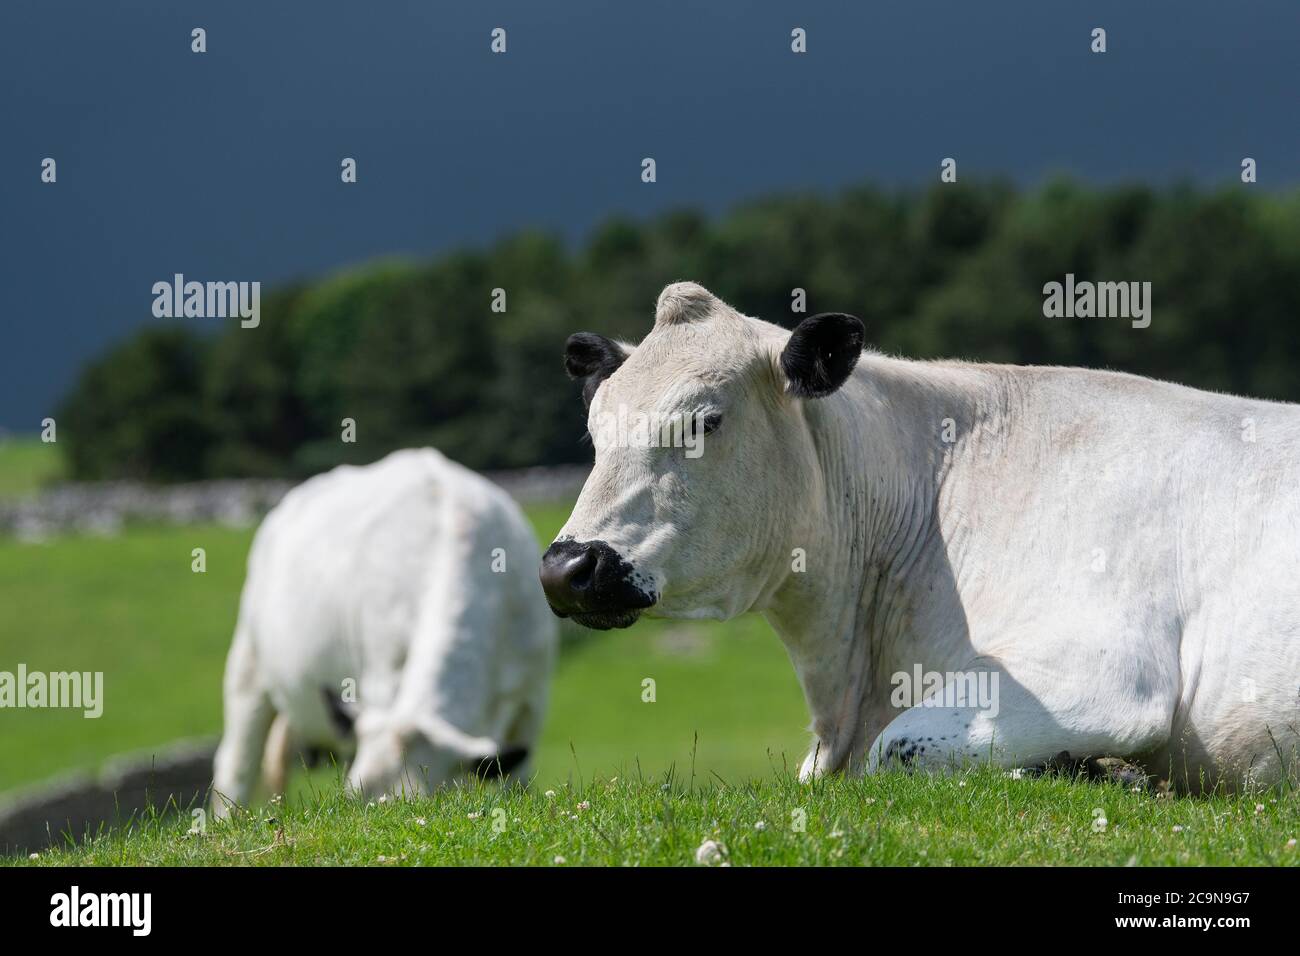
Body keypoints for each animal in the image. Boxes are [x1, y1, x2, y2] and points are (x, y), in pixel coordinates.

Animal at [212, 448, 556, 818]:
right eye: (353, 798)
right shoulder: (380, 679)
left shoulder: (531, 700)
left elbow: (514, 783)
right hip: (248, 662)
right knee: (235, 766)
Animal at [540, 281, 1300, 791]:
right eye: (596, 429)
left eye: (704, 420)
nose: (566, 566)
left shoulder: (1106, 676)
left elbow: (896, 749)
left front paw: (1100, 772)